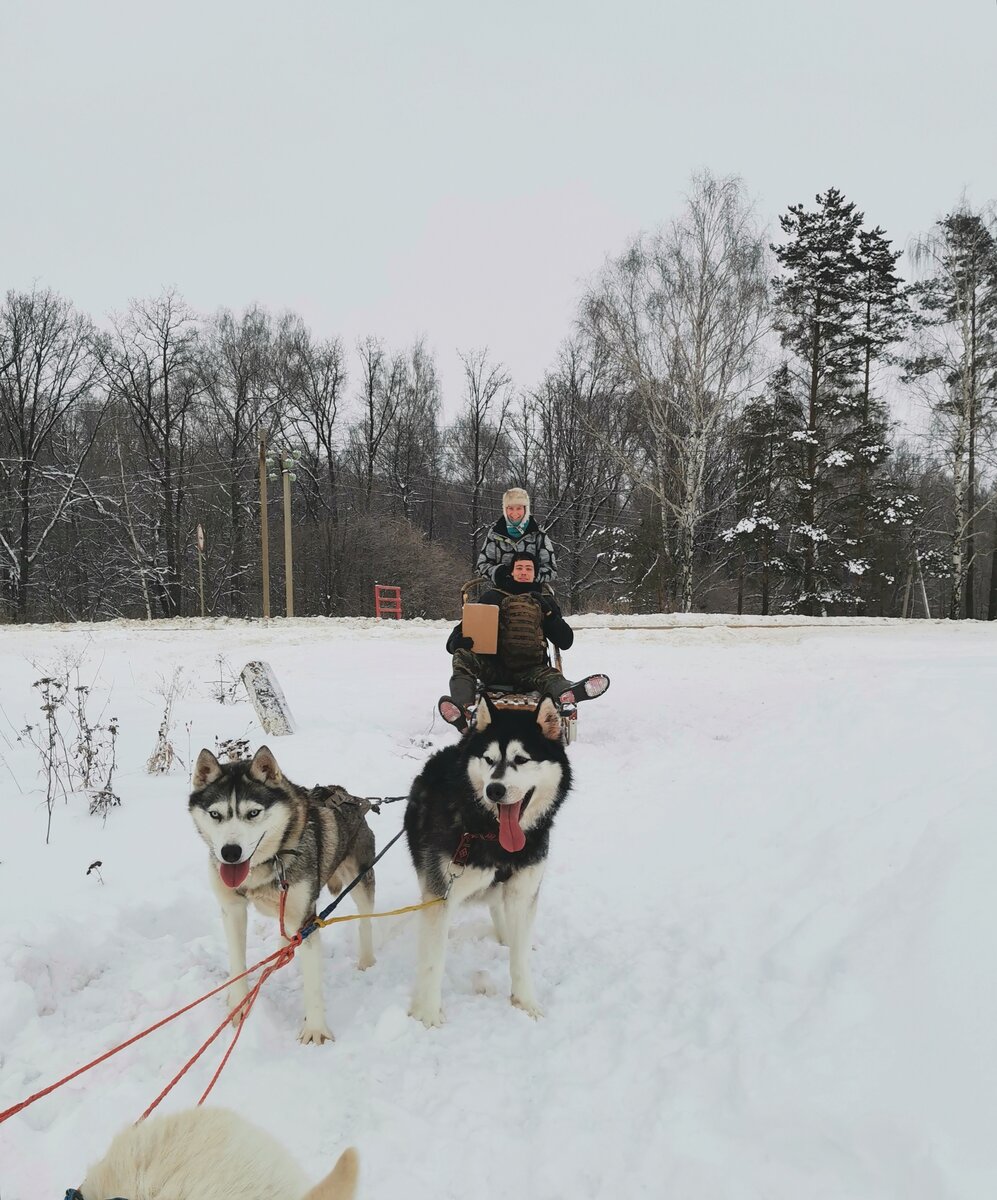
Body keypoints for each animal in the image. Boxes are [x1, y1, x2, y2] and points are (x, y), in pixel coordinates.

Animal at [189, 744, 376, 1046]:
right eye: (215, 815)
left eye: (253, 813)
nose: (230, 852)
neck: (264, 867)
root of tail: (348, 796)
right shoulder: (233, 910)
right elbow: (237, 963)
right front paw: (238, 1007)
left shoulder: (306, 919)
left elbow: (313, 983)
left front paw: (315, 1030)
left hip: (360, 881)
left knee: (365, 921)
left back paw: (367, 960)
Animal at [400, 700, 568, 1027]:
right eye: (489, 759)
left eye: (521, 759)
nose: (494, 790)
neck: (490, 834)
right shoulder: (441, 894)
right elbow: (432, 961)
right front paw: (428, 1015)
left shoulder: (523, 891)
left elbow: (520, 958)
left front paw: (525, 1003)